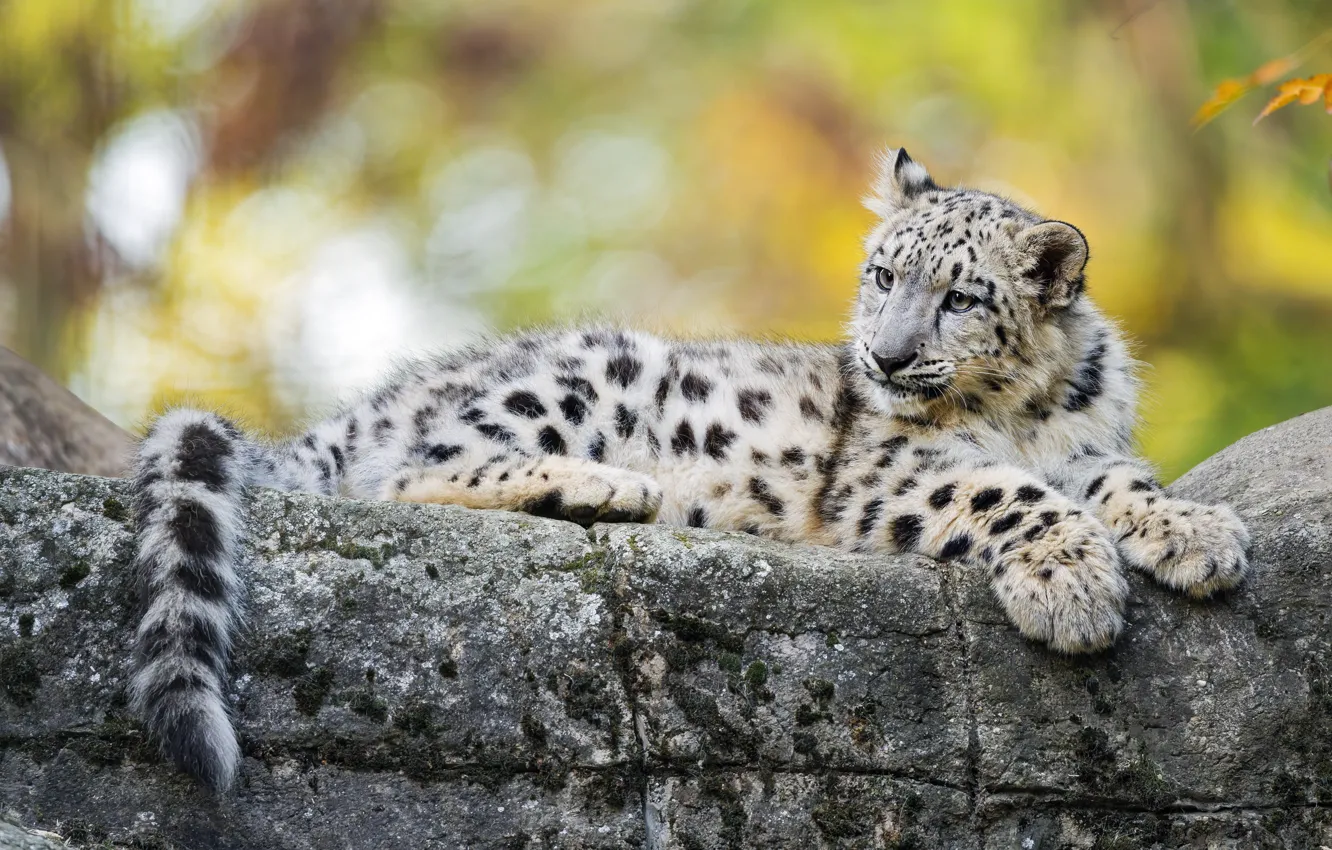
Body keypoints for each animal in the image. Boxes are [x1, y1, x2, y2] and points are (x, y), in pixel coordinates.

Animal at [128, 148, 1250, 790]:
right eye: (882, 273)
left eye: (961, 298)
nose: (885, 357)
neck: (1019, 411)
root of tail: (375, 401)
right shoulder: (892, 464)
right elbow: (1001, 490)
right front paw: (1075, 586)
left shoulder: (1091, 448)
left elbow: (1120, 483)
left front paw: (1197, 536)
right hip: (579, 378)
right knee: (410, 469)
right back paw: (608, 486)